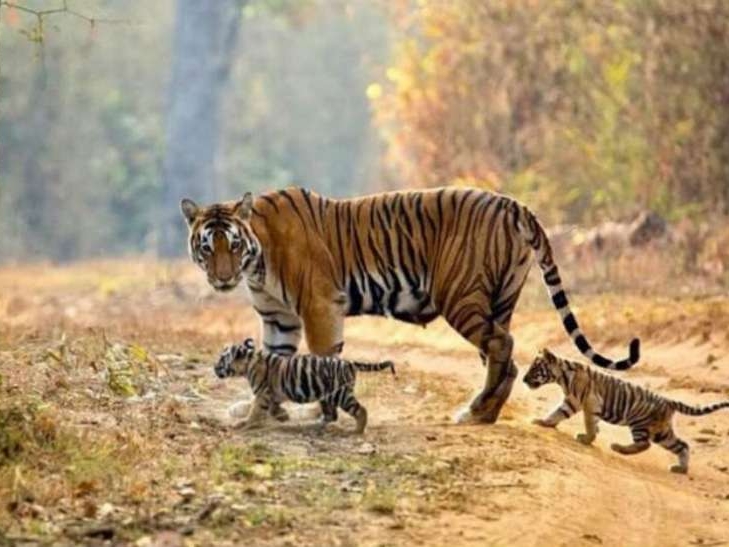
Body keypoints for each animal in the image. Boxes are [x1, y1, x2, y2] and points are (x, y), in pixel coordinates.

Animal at [214, 337, 395, 433]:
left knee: (361, 410)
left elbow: (255, 411)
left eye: (222, 359)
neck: (248, 363)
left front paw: (245, 424)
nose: (214, 367)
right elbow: (272, 408)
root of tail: (349, 363)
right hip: (327, 396)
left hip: (340, 394)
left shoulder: (263, 393)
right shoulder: (273, 394)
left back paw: (357, 431)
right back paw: (316, 426)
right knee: (332, 415)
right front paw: (283, 416)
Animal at [523, 348, 729, 473]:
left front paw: (586, 439)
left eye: (535, 368)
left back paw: (618, 448)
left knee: (644, 444)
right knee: (682, 445)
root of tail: (669, 401)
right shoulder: (574, 402)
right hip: (662, 432)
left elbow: (584, 421)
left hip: (640, 423)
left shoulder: (587, 402)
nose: (524, 380)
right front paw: (543, 422)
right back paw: (680, 469)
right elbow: (560, 414)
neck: (562, 376)